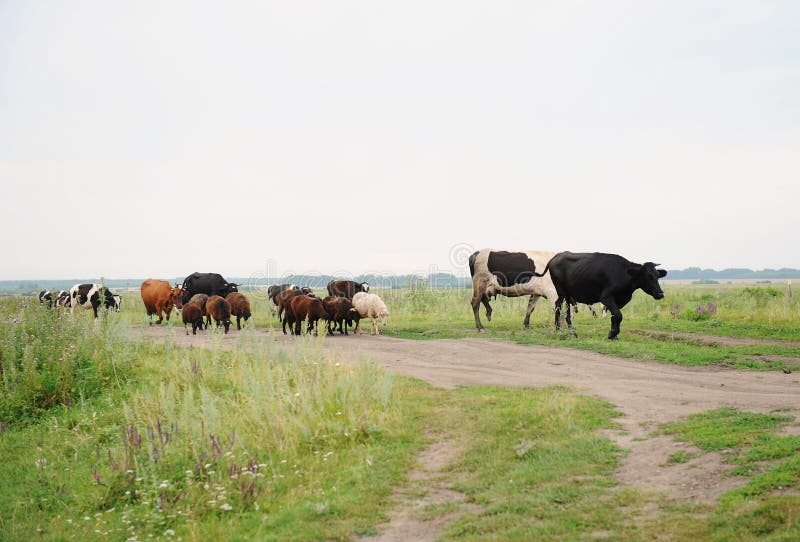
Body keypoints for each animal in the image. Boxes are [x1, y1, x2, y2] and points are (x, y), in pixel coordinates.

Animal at [533, 252, 667, 340]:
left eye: (657, 276)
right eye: (648, 276)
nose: (660, 294)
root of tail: (557, 256)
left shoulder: (620, 300)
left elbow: (615, 316)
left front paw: (614, 335)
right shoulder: (606, 297)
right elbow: (619, 315)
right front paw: (613, 334)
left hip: (568, 294)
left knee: (562, 308)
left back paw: (565, 331)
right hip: (562, 291)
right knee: (560, 307)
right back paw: (564, 331)